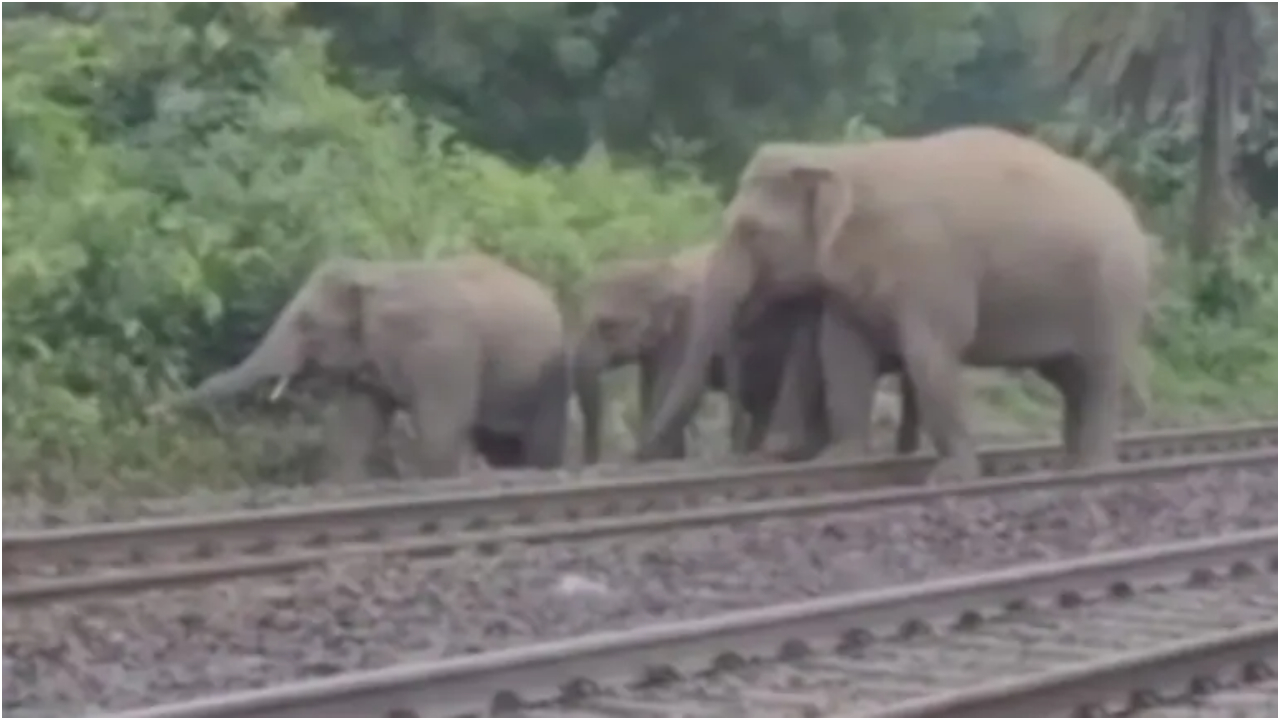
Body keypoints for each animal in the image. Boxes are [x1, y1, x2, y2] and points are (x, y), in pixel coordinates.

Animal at [162, 253, 572, 481]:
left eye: (307, 324)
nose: (157, 413)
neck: (375, 273)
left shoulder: (443, 348)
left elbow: (442, 422)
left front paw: (437, 481)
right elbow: (356, 424)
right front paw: (344, 485)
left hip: (549, 374)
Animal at [639, 126, 1154, 484]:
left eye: (750, 231)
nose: (639, 456)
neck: (837, 158)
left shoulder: (933, 265)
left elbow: (930, 355)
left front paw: (950, 477)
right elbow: (841, 353)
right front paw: (839, 460)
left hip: (1113, 291)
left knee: (1099, 371)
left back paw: (1092, 469)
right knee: (1069, 376)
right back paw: (1068, 464)